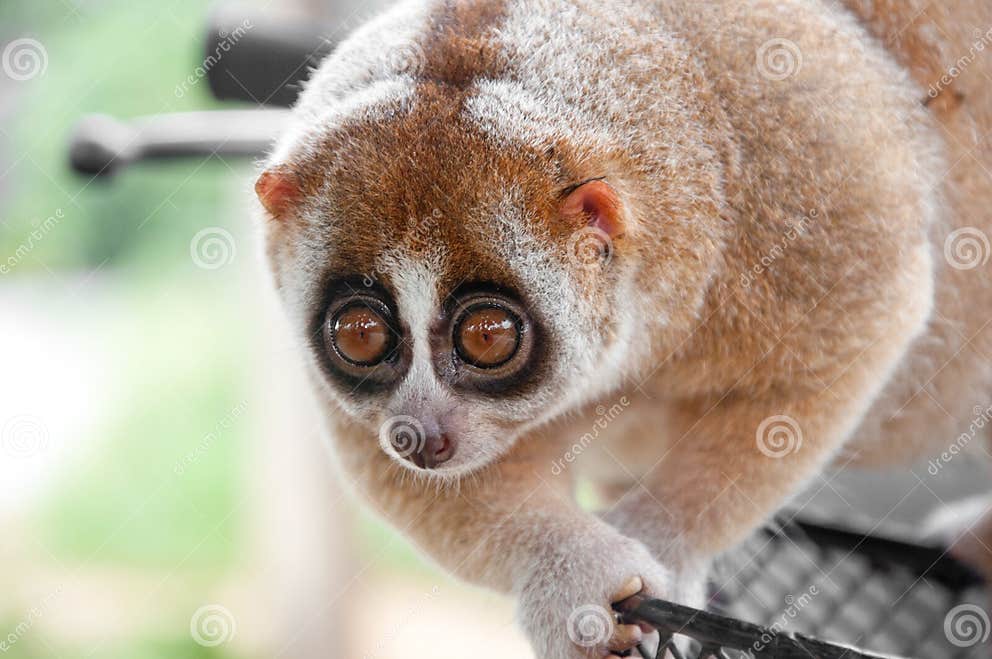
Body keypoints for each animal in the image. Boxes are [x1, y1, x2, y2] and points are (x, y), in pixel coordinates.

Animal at [254, 0, 992, 656]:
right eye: (360, 335)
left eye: (488, 337)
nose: (420, 436)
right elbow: (391, 462)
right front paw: (571, 579)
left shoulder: (803, 194)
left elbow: (844, 345)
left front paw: (665, 537)